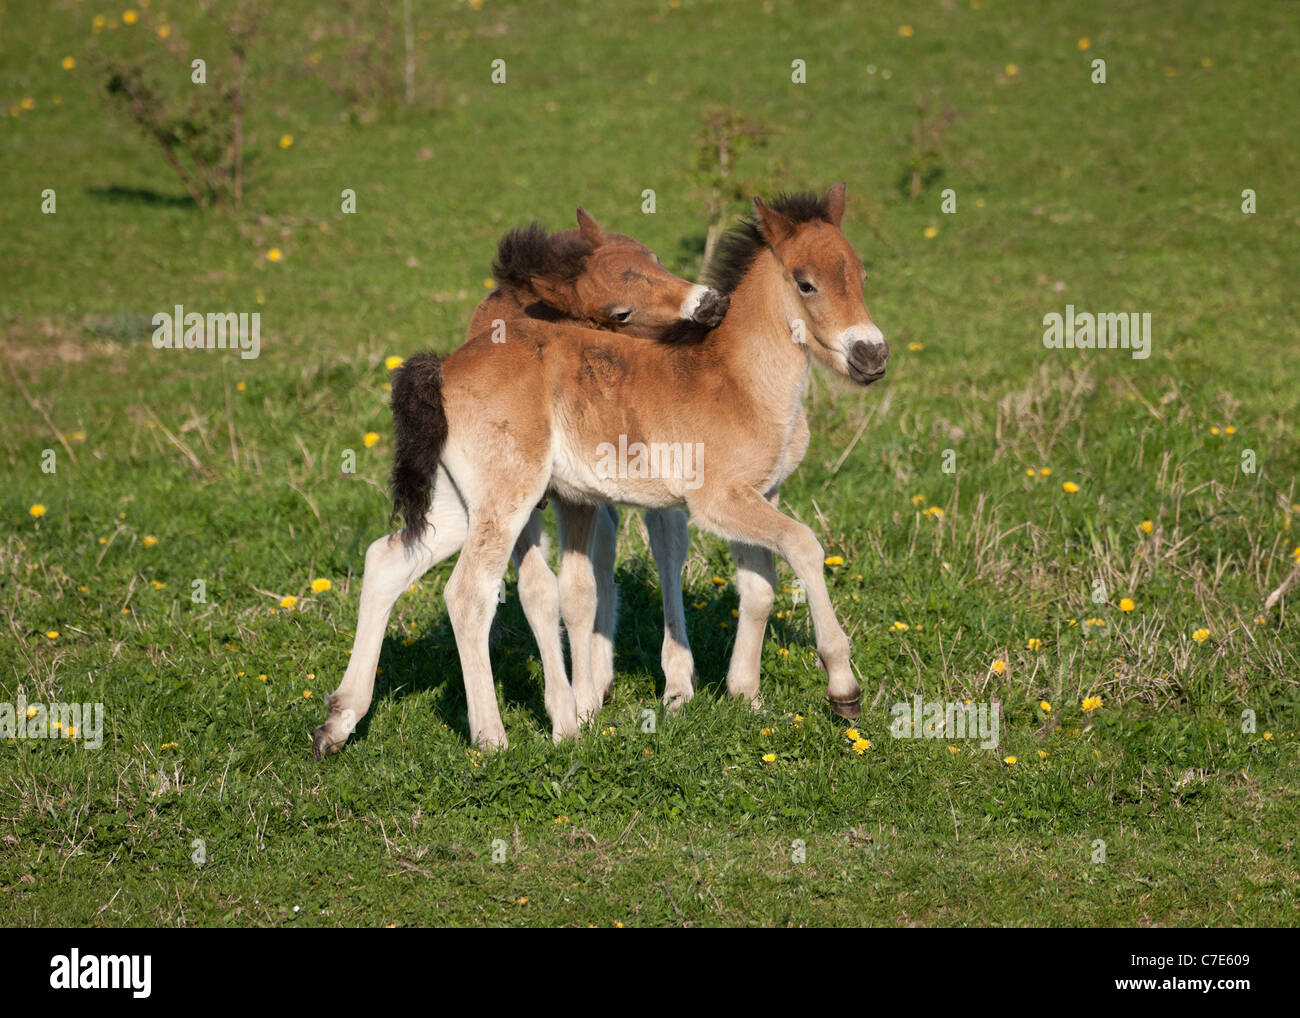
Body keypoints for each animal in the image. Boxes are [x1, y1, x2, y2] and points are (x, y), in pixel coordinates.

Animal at [315, 182, 887, 755]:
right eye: (806, 282)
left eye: (862, 276)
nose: (872, 354)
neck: (736, 379)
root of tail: (445, 367)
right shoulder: (718, 500)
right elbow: (805, 545)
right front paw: (843, 689)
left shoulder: (761, 494)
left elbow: (759, 588)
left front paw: (745, 695)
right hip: (510, 498)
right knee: (469, 594)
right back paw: (492, 739)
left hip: (465, 504)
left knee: (387, 559)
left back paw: (337, 723)